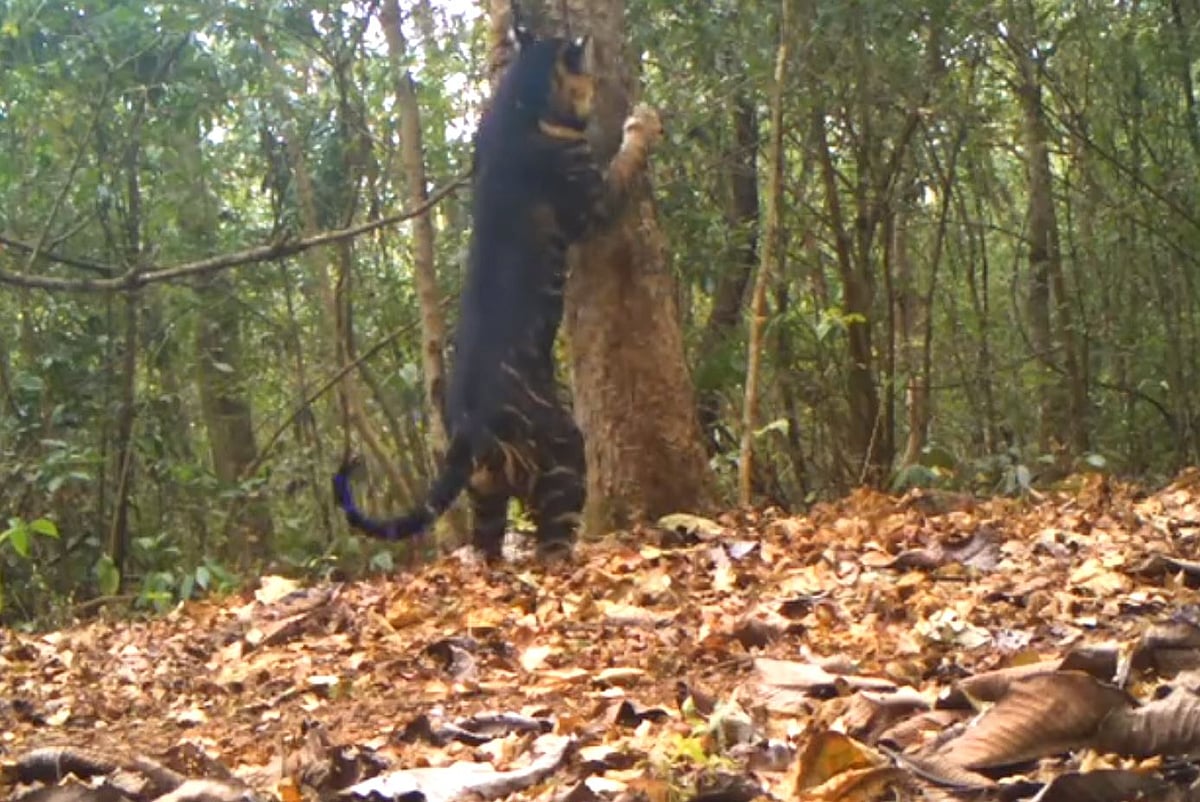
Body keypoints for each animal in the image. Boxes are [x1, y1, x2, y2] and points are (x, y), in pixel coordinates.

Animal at [332, 20, 663, 563]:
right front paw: (644, 122)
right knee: (552, 540)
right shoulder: (591, 201)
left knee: (486, 546)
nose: (585, 37)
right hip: (564, 451)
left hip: (486, 489)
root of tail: (467, 430)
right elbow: (622, 162)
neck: (519, 104)